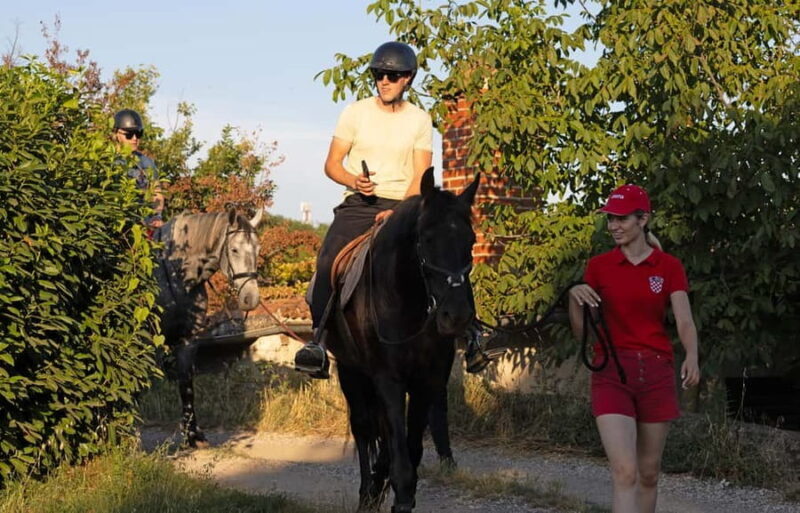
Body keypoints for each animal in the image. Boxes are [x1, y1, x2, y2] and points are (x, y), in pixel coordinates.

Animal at [153, 208, 262, 447]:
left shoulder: (188, 341)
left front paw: (193, 435)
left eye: (257, 249)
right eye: (234, 249)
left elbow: (187, 386)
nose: (251, 298)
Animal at [325, 168, 479, 512]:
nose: (456, 316)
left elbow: (410, 451)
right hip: (350, 371)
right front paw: (387, 492)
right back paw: (367, 495)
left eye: (471, 241)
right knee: (363, 427)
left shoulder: (427, 381)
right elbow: (400, 460)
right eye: (427, 238)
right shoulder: (388, 380)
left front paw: (394, 489)